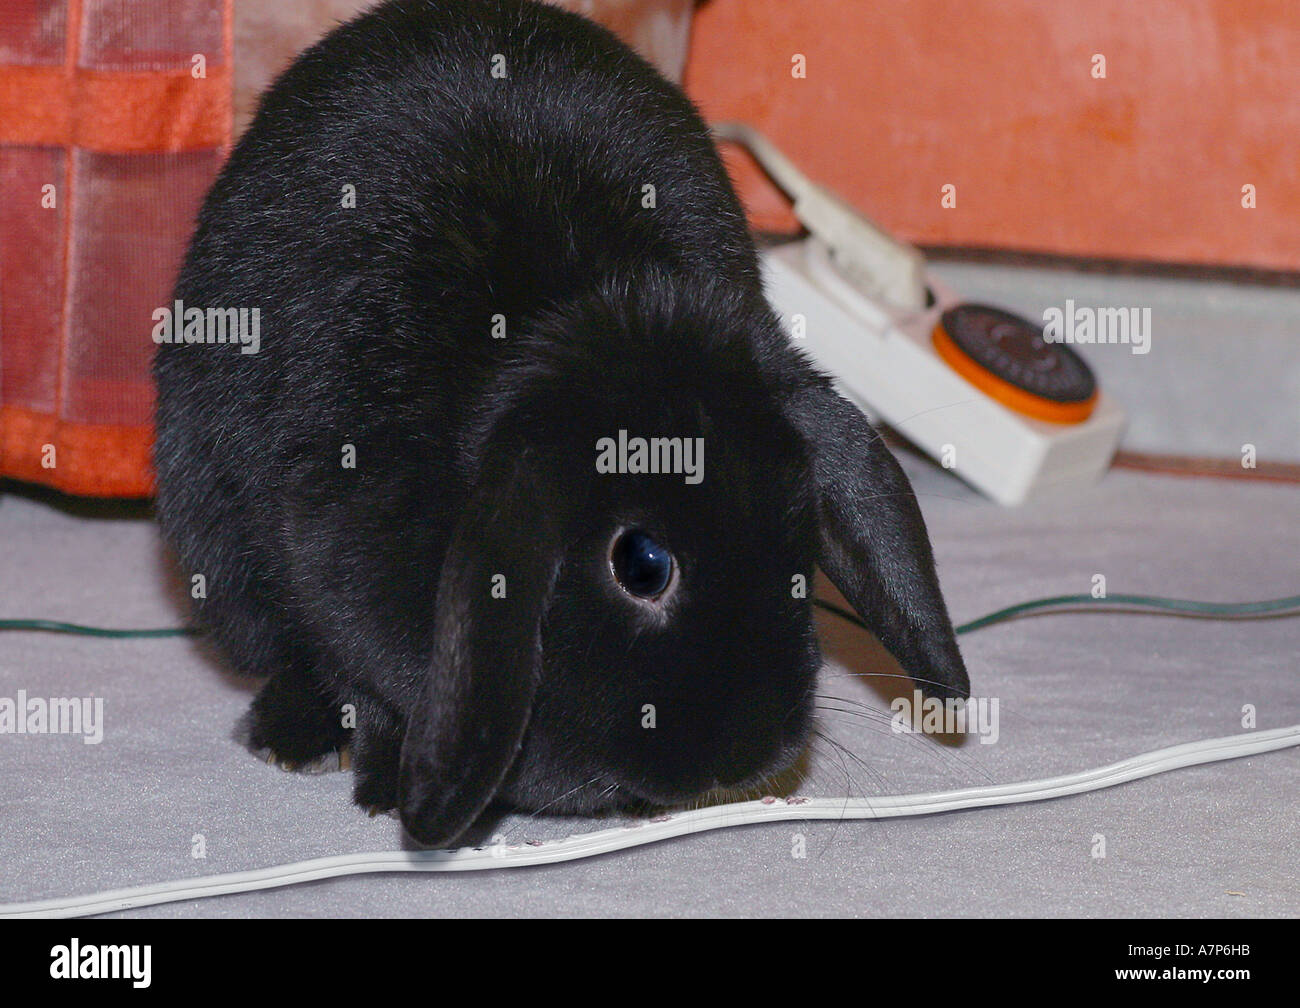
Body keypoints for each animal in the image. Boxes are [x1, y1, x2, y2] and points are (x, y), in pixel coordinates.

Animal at [153, 0, 969, 848]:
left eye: (804, 541)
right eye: (642, 565)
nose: (747, 757)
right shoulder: (325, 554)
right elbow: (363, 686)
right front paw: (381, 786)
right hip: (215, 552)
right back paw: (290, 738)